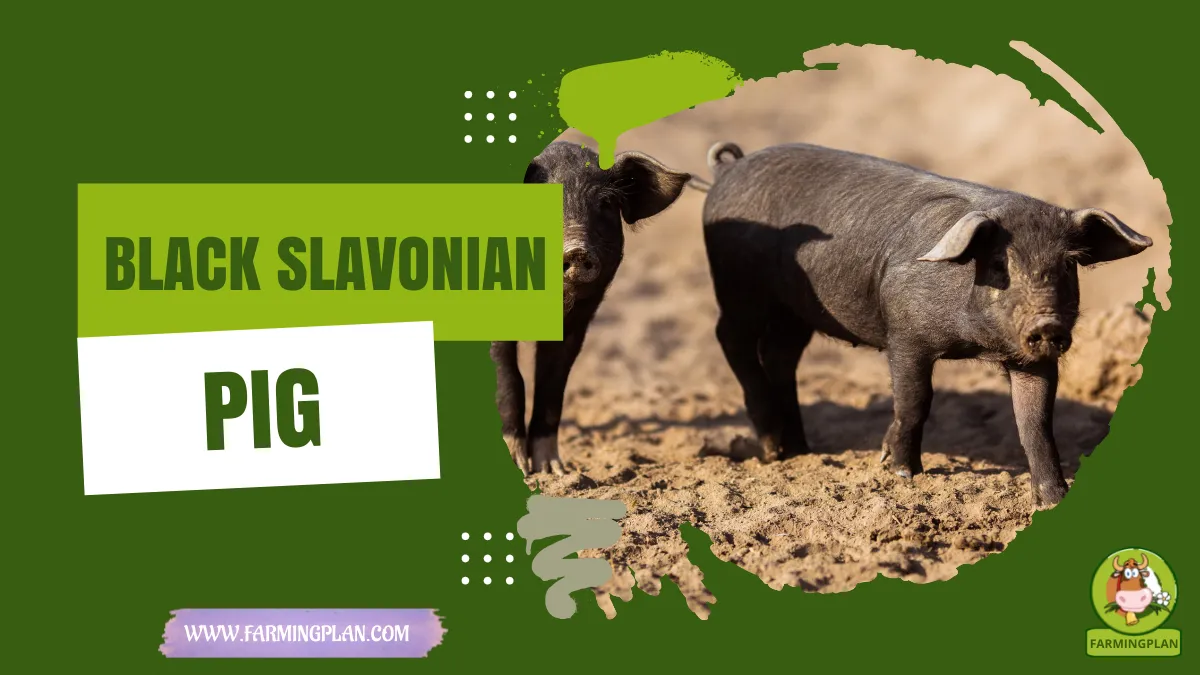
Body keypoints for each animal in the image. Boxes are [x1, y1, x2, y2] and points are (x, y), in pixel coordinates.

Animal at [491, 141, 691, 475]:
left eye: (606, 203)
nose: (575, 251)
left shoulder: (579, 320)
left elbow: (552, 386)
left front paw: (555, 471)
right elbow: (509, 377)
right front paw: (521, 469)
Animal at [699, 141, 1152, 508]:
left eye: (1069, 265)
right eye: (998, 264)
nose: (1046, 323)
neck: (975, 343)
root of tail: (728, 171)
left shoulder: (1033, 359)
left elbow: (1036, 423)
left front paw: (1054, 499)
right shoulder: (905, 336)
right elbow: (915, 401)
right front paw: (902, 472)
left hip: (793, 310)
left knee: (780, 355)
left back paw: (799, 451)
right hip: (738, 285)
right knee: (731, 339)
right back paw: (773, 448)